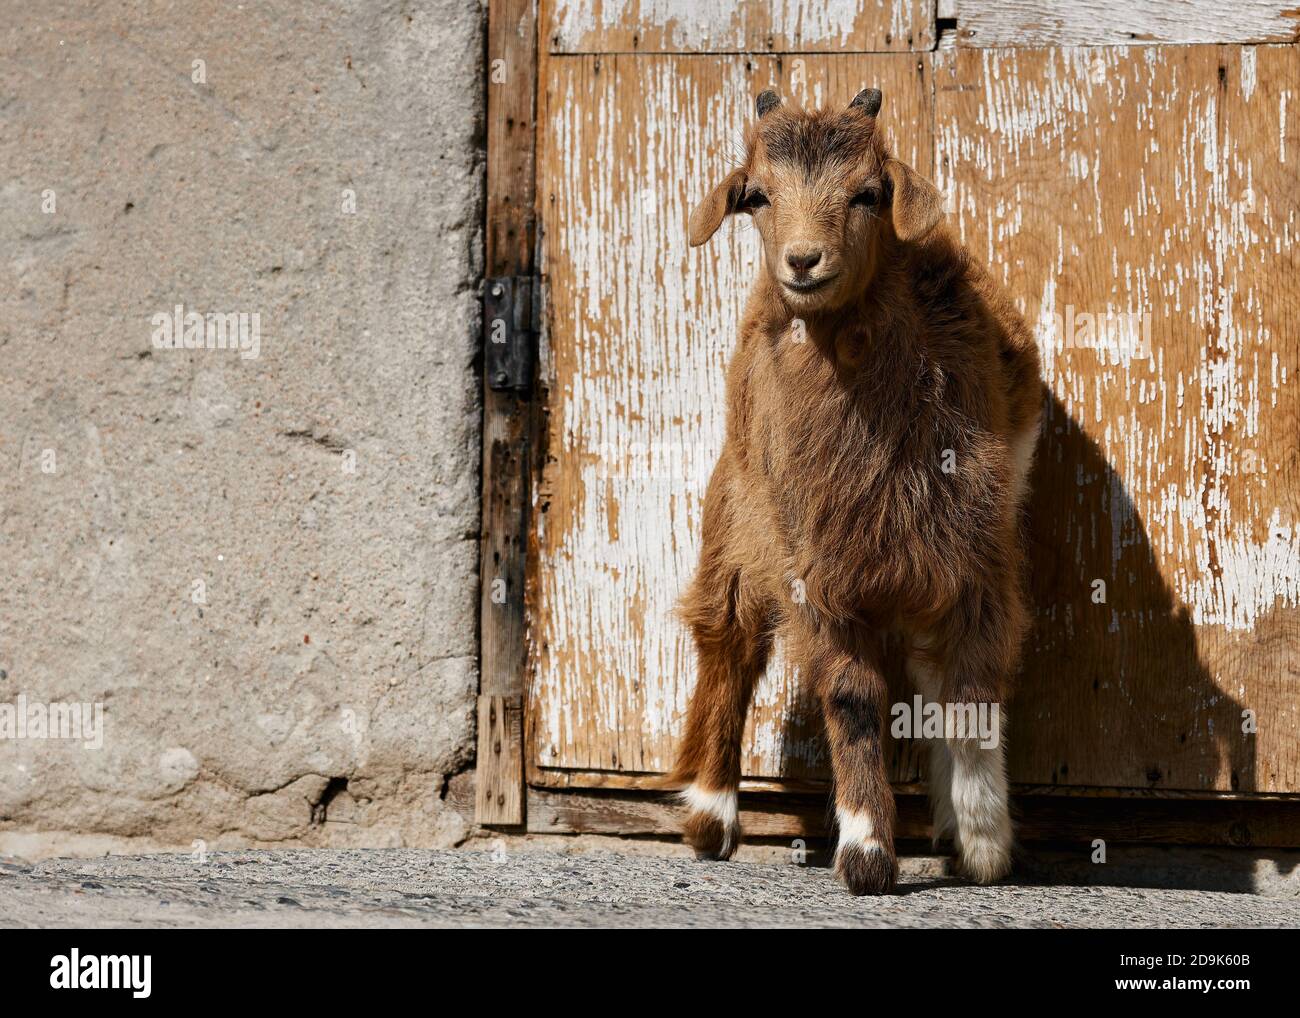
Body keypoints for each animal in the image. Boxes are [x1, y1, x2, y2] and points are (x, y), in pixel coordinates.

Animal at [669, 88, 1042, 895]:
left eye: (869, 194)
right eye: (757, 197)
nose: (802, 261)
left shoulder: (975, 552)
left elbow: (972, 684)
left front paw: (984, 843)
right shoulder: (817, 563)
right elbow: (853, 696)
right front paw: (868, 851)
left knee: (931, 673)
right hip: (737, 509)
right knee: (728, 637)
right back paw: (711, 817)